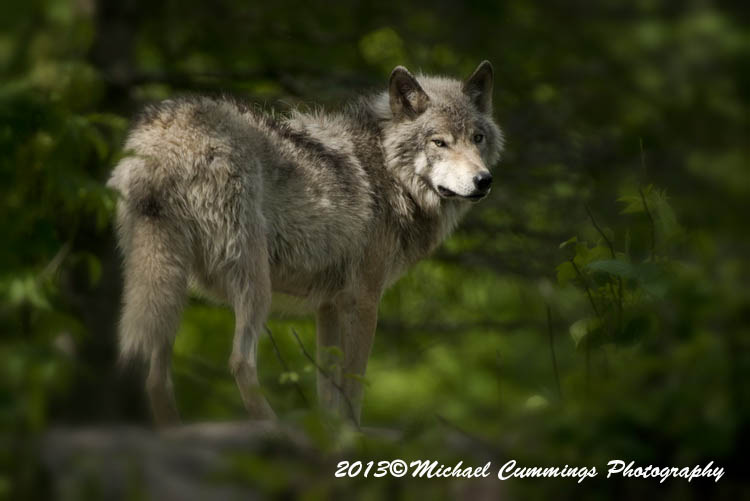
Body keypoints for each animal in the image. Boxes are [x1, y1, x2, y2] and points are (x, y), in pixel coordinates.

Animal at [108, 61, 503, 426]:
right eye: (439, 142)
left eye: (477, 138)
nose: (483, 180)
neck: (389, 172)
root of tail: (167, 135)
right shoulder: (363, 300)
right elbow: (353, 388)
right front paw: (351, 439)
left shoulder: (328, 306)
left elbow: (328, 394)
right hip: (254, 285)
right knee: (240, 362)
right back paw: (276, 430)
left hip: (165, 281)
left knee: (156, 377)